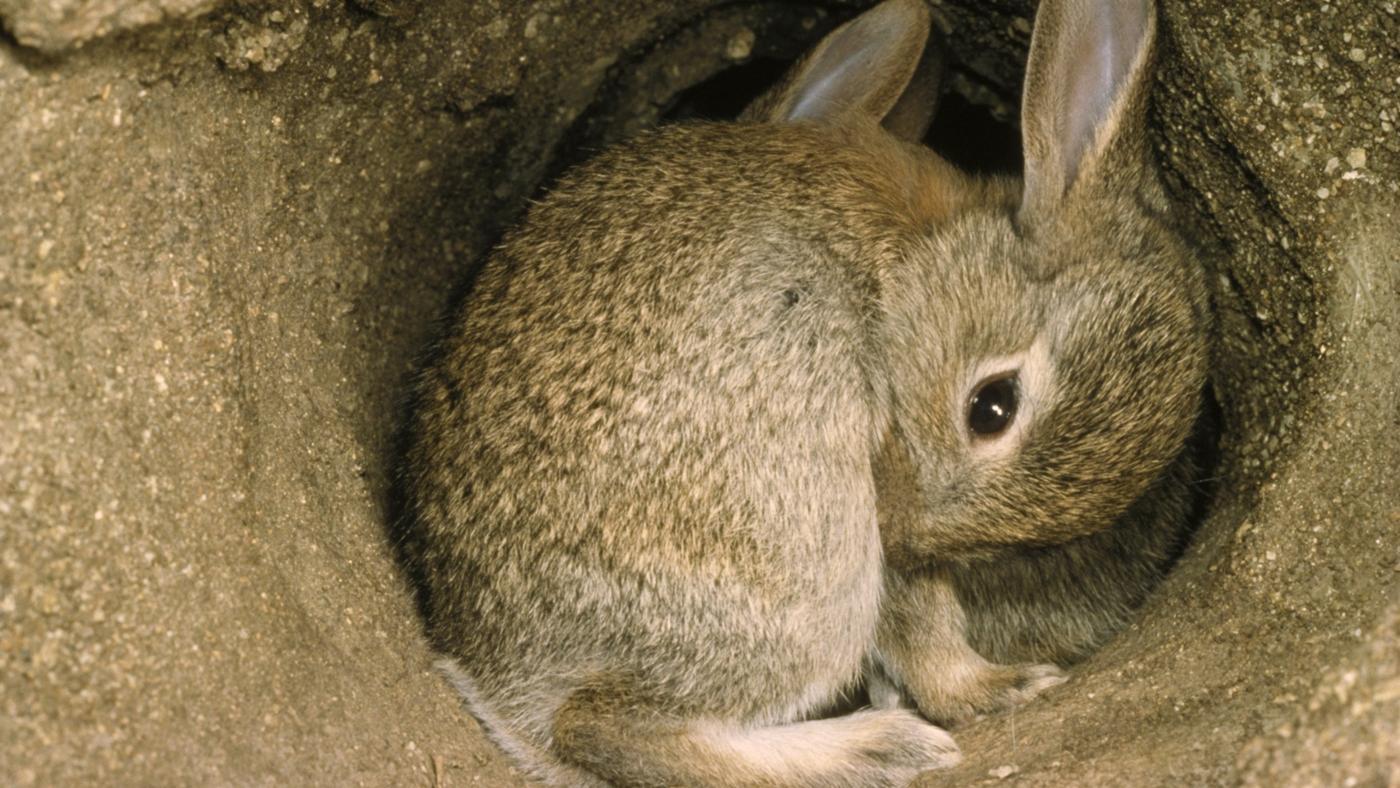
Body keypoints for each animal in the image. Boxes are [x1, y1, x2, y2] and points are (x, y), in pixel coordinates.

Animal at [397, 0, 1208, 784]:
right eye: (992, 406)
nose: (905, 538)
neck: (920, 256)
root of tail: (503, 687)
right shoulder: (873, 464)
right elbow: (917, 622)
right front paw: (994, 689)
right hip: (808, 567)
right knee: (601, 727)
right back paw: (885, 747)